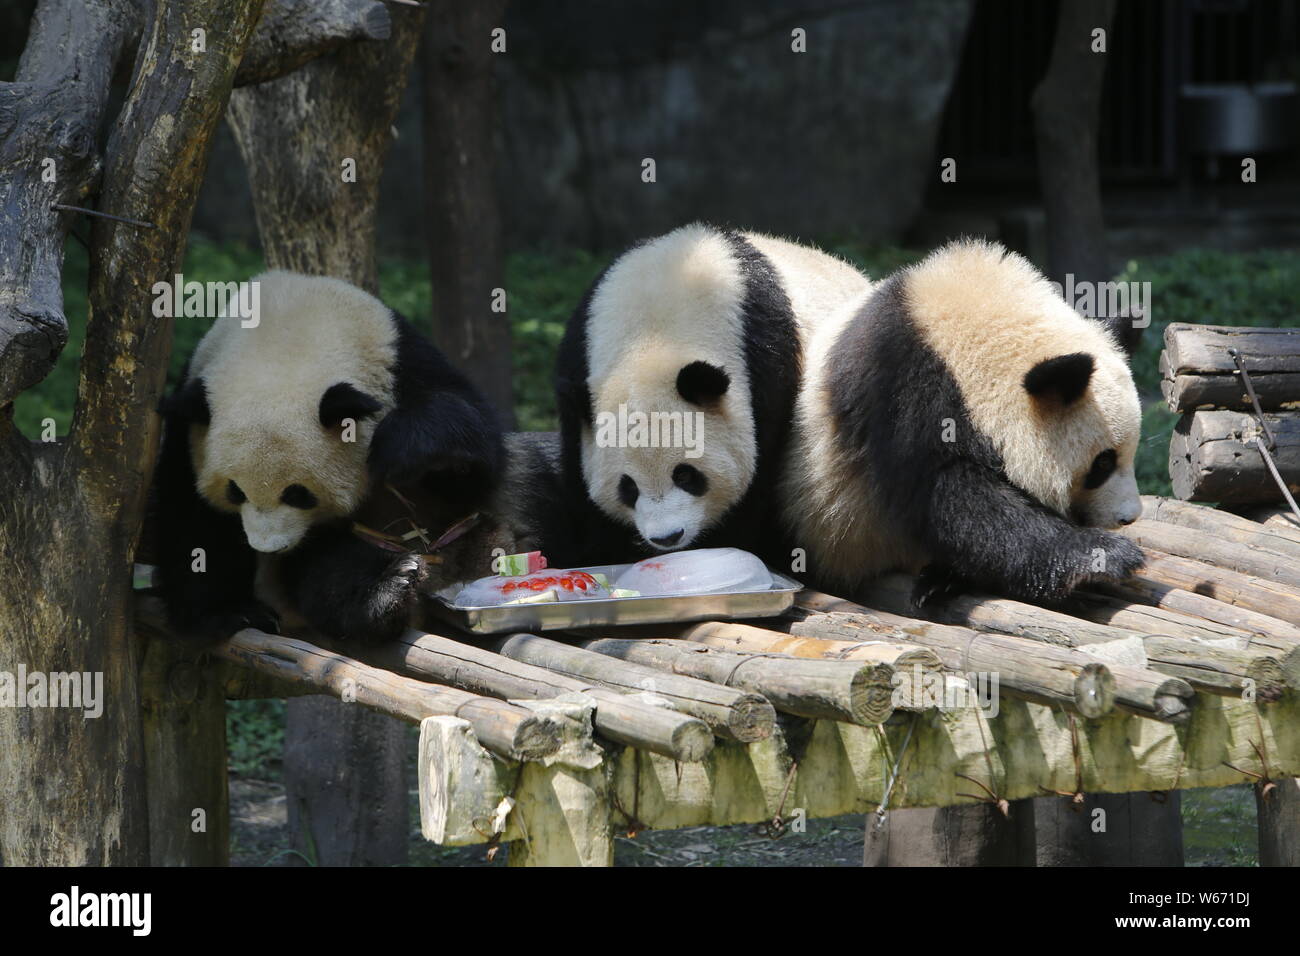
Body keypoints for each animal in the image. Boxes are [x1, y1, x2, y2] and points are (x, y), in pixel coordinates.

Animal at [154, 270, 505, 643]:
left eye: (297, 493)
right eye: (236, 491)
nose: (268, 548)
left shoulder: (404, 359)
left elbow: (472, 460)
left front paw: (405, 451)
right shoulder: (191, 421)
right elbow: (191, 520)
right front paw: (230, 612)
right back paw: (385, 591)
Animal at [533, 222, 872, 567]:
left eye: (685, 474)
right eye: (627, 487)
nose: (667, 538)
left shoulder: (766, 372)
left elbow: (753, 485)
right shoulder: (578, 363)